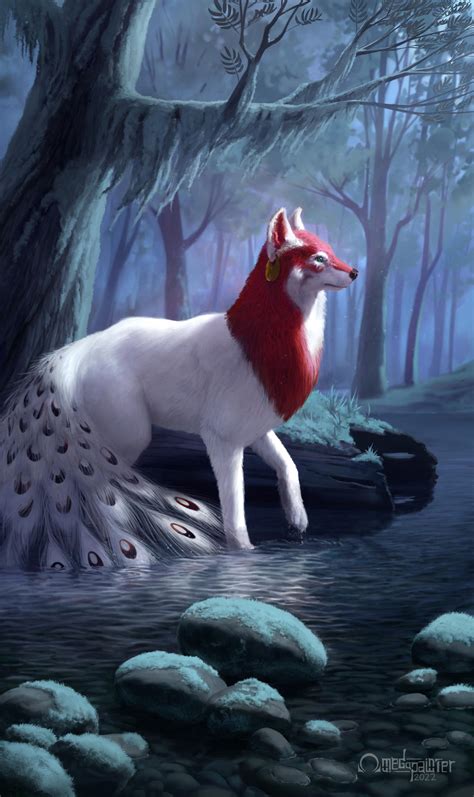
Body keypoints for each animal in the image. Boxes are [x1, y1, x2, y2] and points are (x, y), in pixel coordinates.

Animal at [0, 207, 357, 568]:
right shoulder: (222, 437)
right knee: (108, 482)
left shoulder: (255, 429)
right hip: (129, 433)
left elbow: (288, 464)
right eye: (318, 258)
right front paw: (243, 553)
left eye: (329, 250)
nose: (355, 272)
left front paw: (297, 519)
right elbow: (234, 505)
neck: (258, 347)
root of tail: (77, 351)